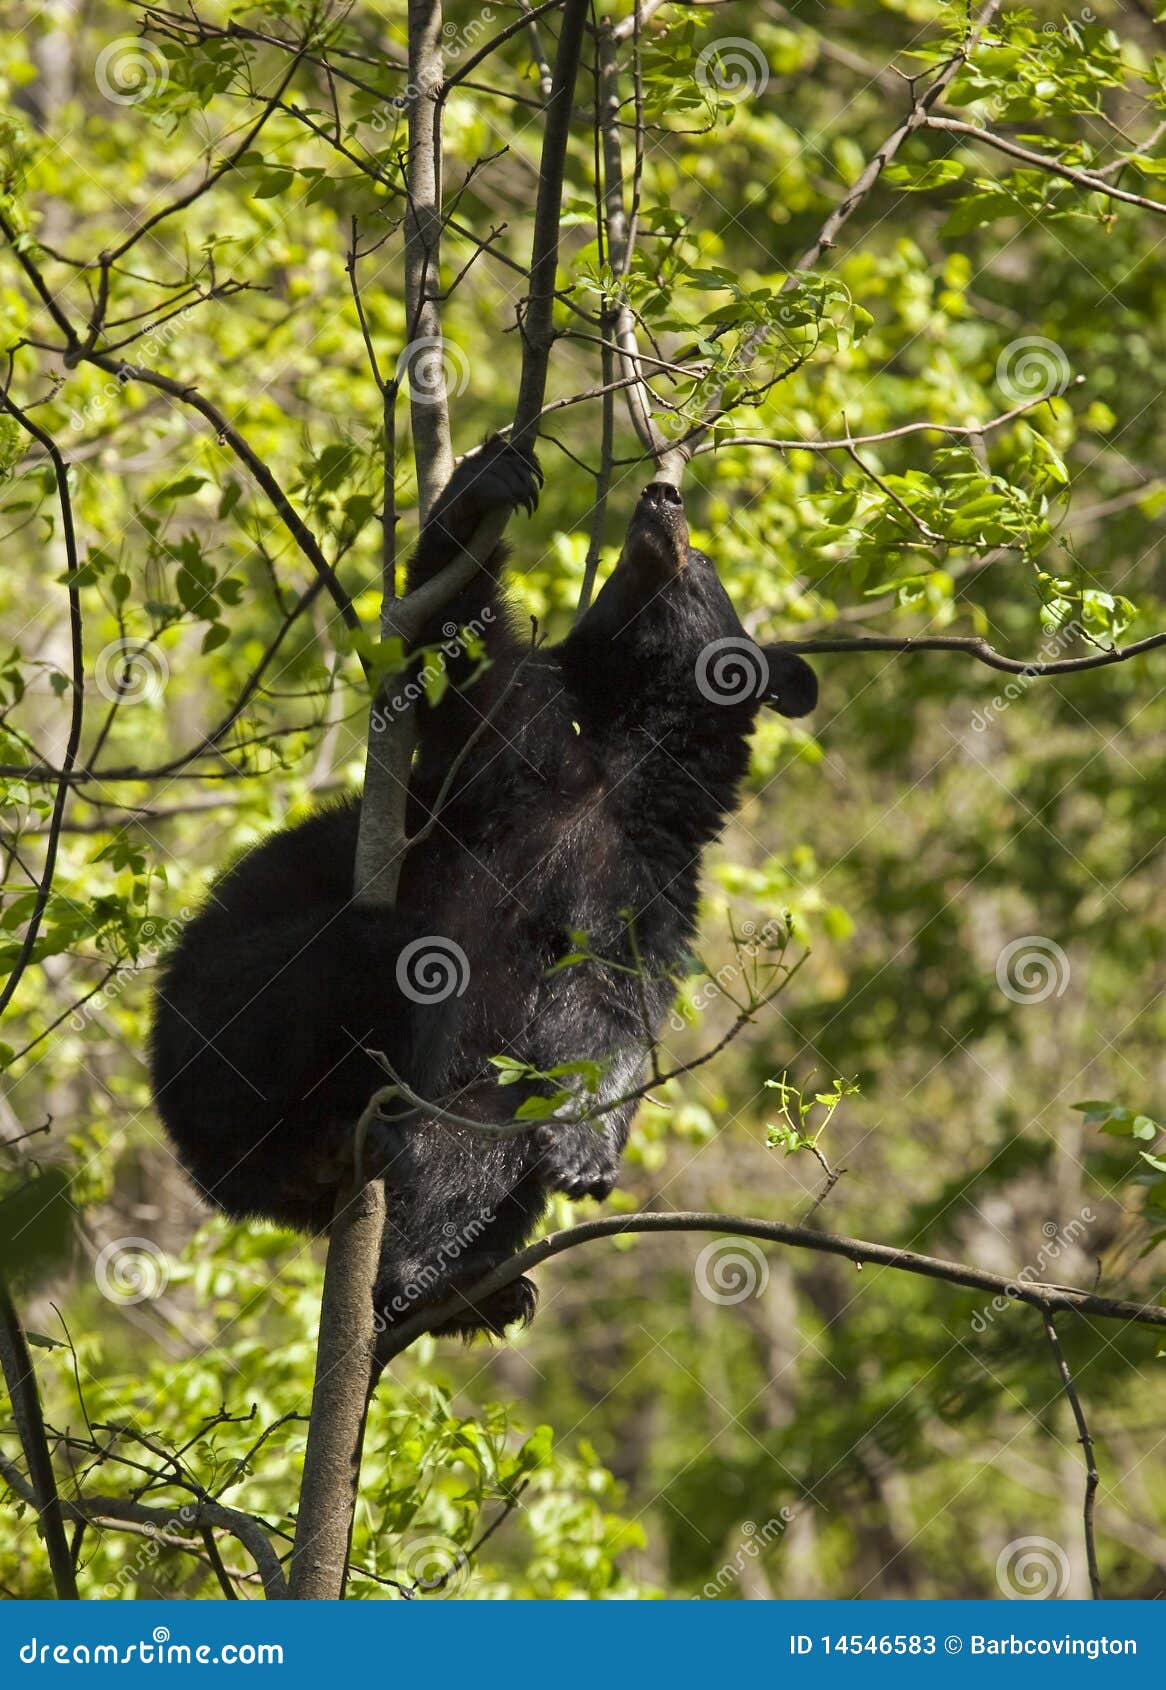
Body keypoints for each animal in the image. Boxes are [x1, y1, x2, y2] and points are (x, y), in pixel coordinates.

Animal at [149, 438, 816, 1344]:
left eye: (702, 564)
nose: (662, 496)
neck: (617, 770)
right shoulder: (510, 757)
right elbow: (448, 656)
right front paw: (483, 485)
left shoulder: (650, 881)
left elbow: (613, 1001)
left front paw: (588, 1142)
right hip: (231, 1018)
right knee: (398, 960)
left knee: (483, 1136)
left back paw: (457, 1281)